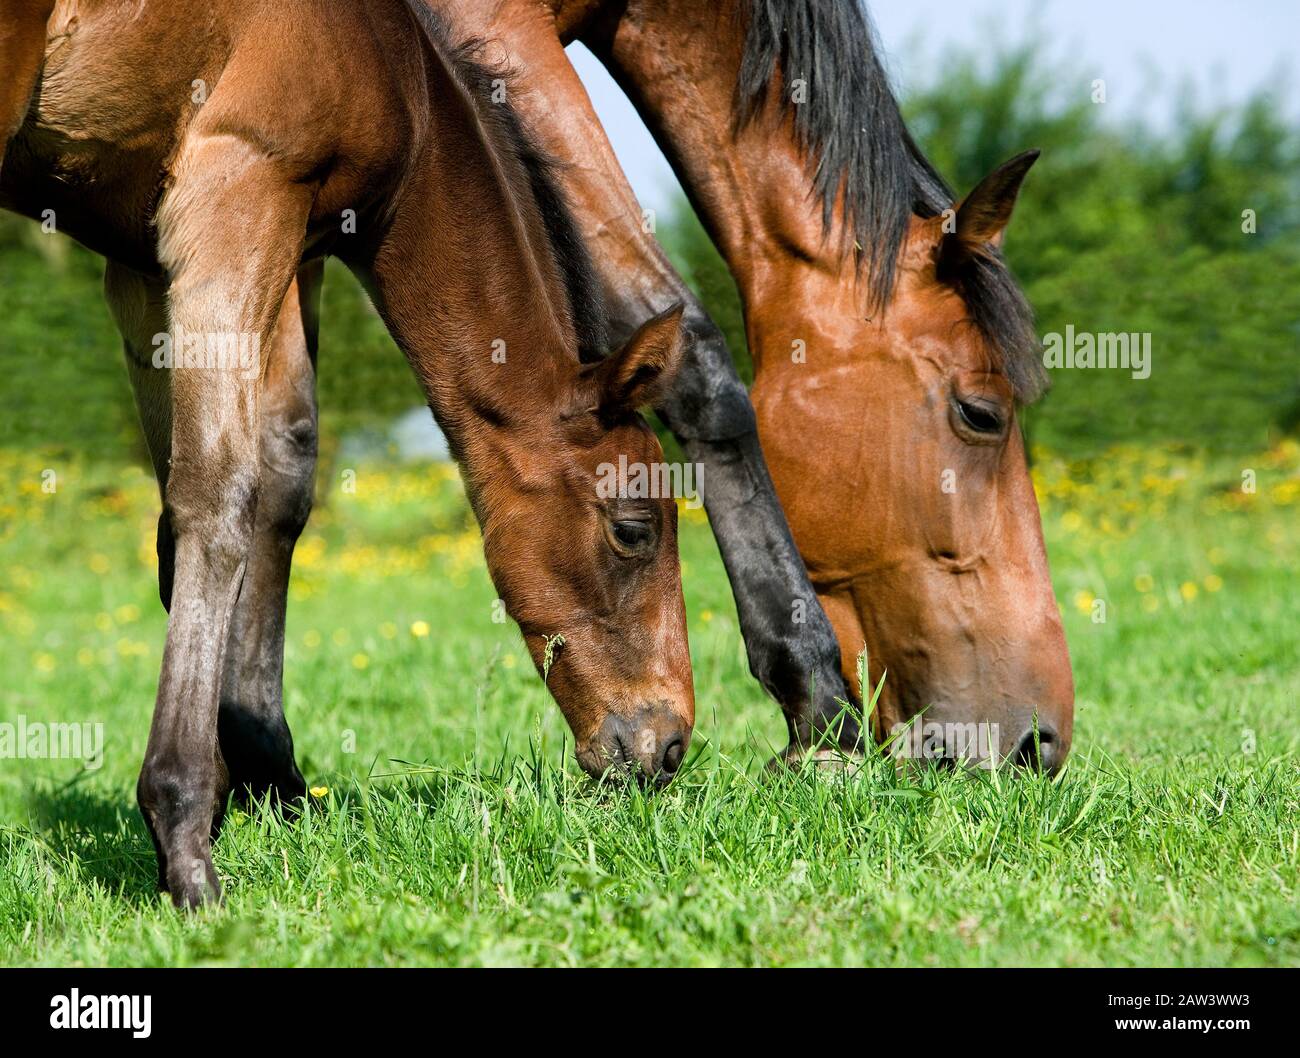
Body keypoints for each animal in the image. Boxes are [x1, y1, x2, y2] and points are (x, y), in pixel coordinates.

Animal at [0, 0, 696, 907]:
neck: (390, 63)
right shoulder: (242, 189)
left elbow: (182, 521)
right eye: (634, 529)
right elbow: (219, 497)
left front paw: (233, 793)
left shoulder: (142, 263)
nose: (670, 745)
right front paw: (186, 839)